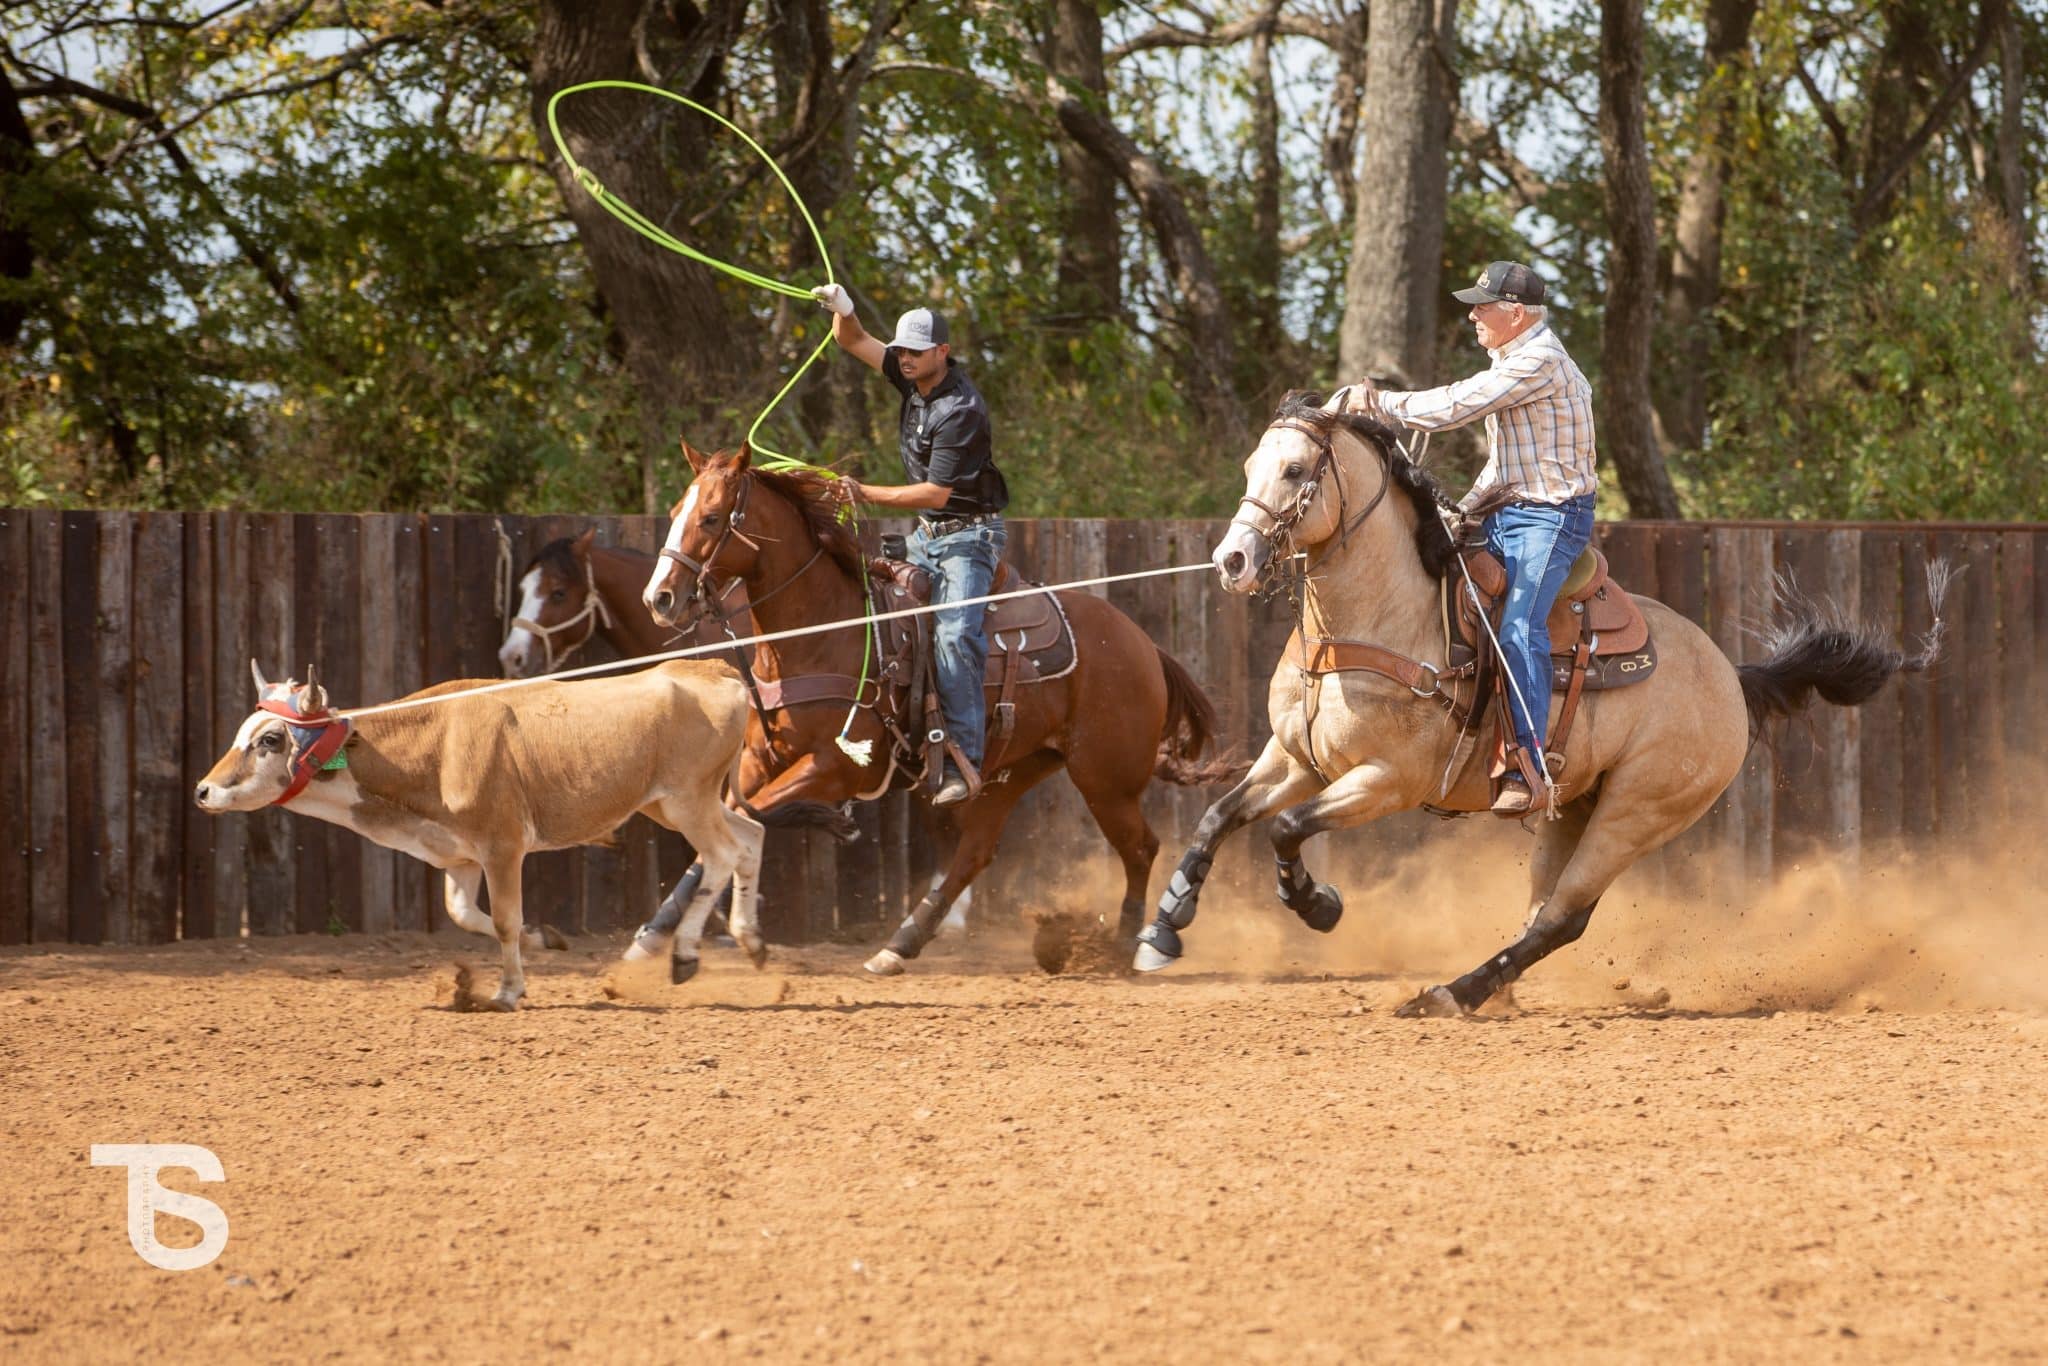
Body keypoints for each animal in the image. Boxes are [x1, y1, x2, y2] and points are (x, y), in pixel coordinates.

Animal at [640, 440, 1242, 976]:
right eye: (674, 513)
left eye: (711, 518)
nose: (659, 598)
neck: (823, 631)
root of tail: (1142, 643)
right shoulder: (757, 761)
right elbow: (721, 831)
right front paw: (654, 936)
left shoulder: (839, 769)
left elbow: (746, 821)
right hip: (1013, 770)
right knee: (975, 852)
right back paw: (900, 945)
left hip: (1105, 778)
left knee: (1140, 849)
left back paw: (1124, 947)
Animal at [1132, 389, 1945, 1017]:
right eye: (1251, 466)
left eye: (1297, 469)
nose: (1233, 560)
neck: (1378, 618)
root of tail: (1731, 677)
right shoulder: (1295, 758)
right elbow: (1221, 816)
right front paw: (1164, 929)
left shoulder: (1386, 781)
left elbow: (1287, 830)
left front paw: (1318, 904)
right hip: (1572, 807)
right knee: (1538, 912)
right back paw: (1493, 994)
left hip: (1636, 815)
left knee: (1565, 918)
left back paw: (1451, 994)